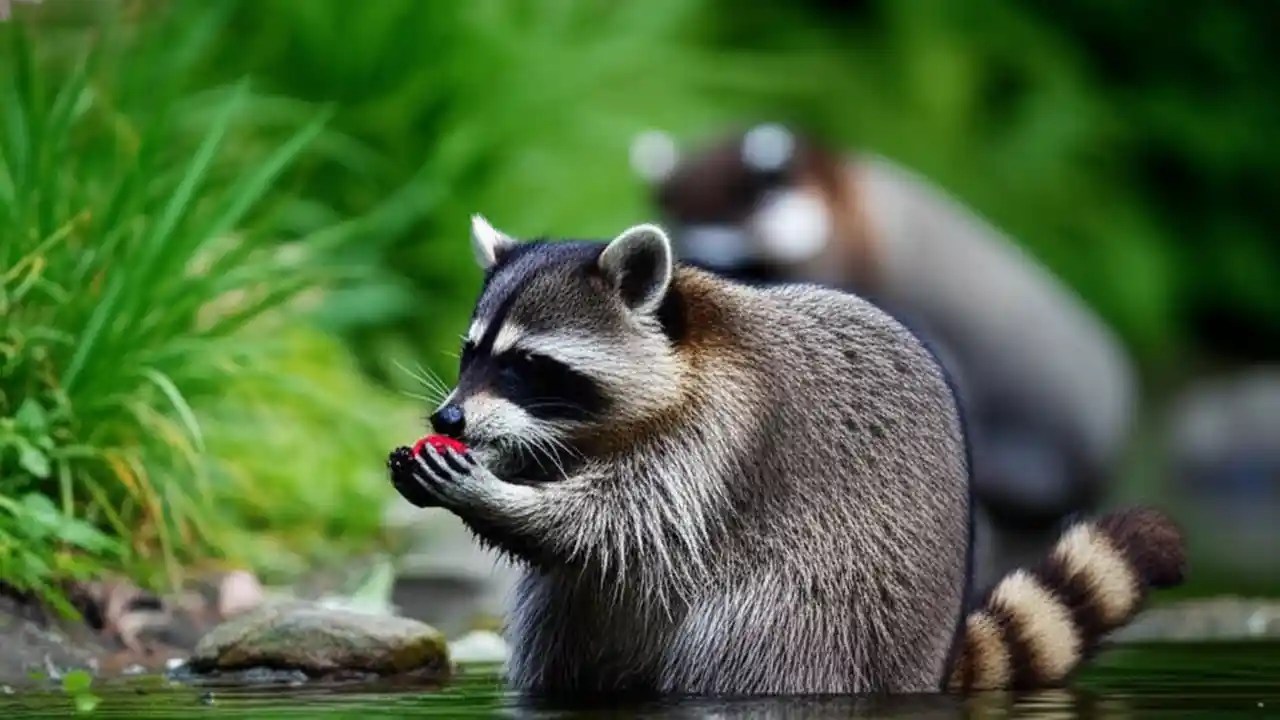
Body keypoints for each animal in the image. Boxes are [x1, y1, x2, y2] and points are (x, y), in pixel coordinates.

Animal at [386, 217, 1183, 697]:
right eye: (471, 353)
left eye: (527, 365)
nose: (447, 417)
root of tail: (927, 660)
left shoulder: (722, 434)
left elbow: (623, 526)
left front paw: (491, 494)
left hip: (828, 609)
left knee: (749, 642)